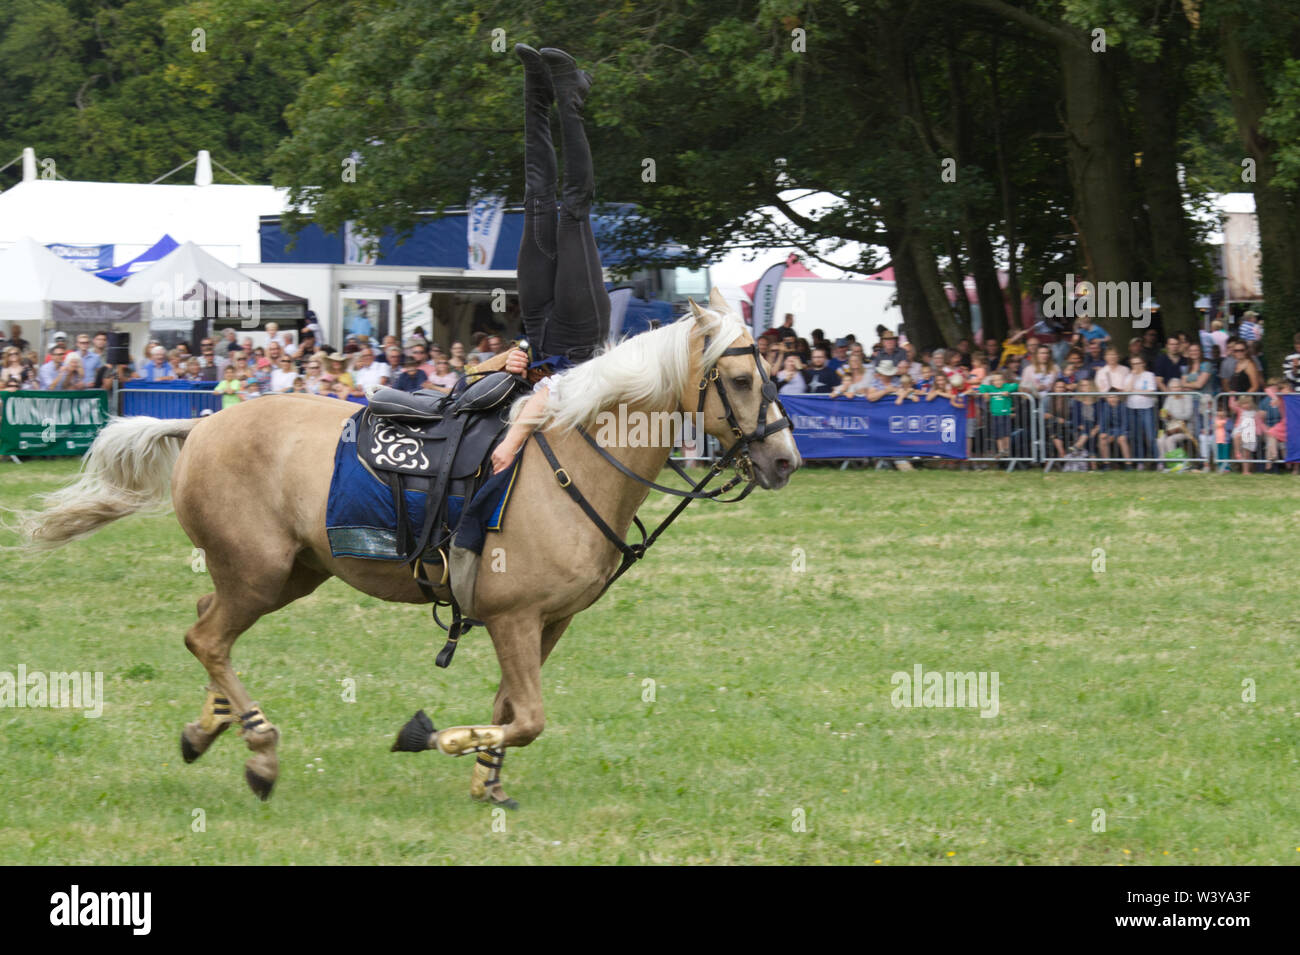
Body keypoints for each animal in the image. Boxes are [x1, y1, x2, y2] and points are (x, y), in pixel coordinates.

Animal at [12, 290, 801, 807]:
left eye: (771, 374)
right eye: (739, 380)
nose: (785, 461)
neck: (572, 460)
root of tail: (202, 423)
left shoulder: (547, 623)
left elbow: (512, 709)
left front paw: (487, 777)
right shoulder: (514, 618)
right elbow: (529, 717)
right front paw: (433, 737)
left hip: (286, 574)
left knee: (209, 626)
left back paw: (207, 728)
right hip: (258, 574)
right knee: (206, 637)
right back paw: (260, 749)